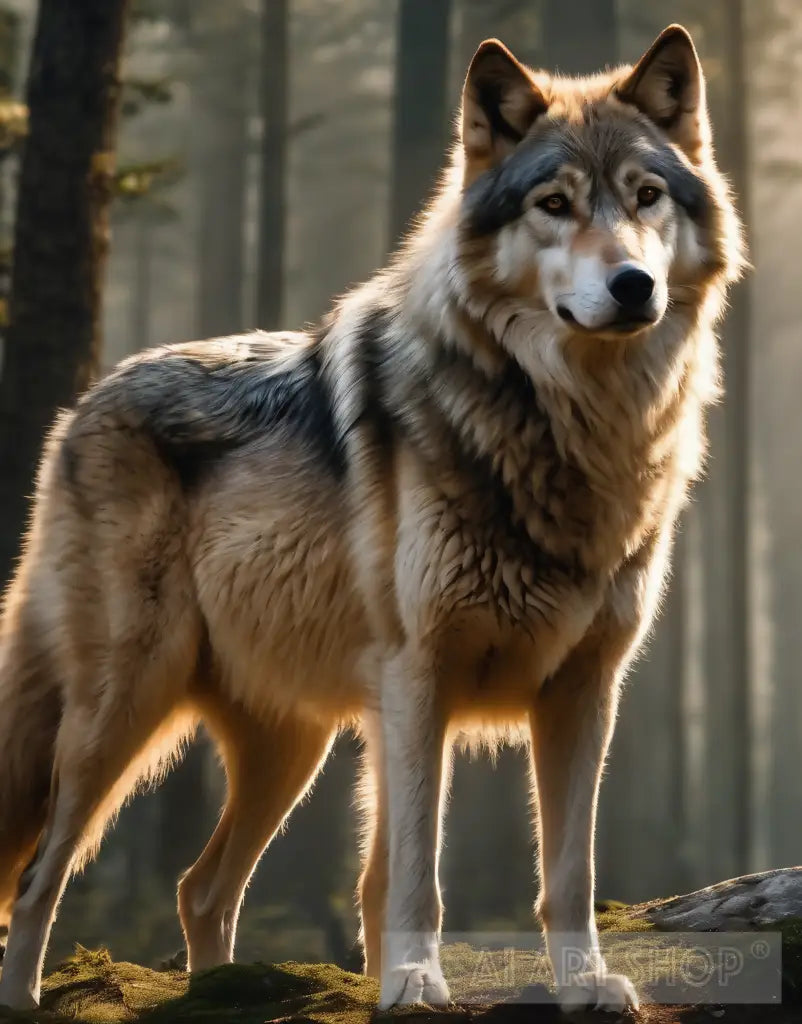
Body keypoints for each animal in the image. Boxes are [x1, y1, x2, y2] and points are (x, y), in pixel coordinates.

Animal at [0, 24, 743, 1012]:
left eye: (645, 197)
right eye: (553, 203)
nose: (631, 286)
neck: (570, 425)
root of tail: (80, 404)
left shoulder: (584, 690)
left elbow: (568, 872)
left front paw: (585, 984)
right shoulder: (418, 679)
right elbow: (415, 869)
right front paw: (416, 983)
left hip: (292, 746)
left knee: (201, 887)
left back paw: (223, 991)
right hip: (122, 710)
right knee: (38, 877)